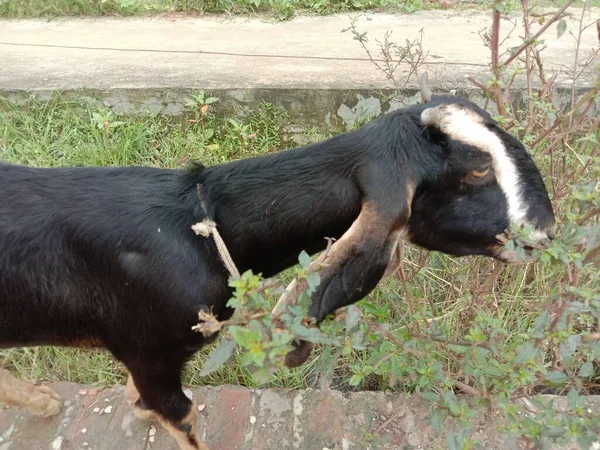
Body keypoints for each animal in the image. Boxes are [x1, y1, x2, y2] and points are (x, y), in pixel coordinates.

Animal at [0, 93, 556, 448]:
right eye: (475, 172)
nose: (547, 229)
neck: (195, 223)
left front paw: (130, 405)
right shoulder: (151, 355)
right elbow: (182, 419)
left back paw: (42, 402)